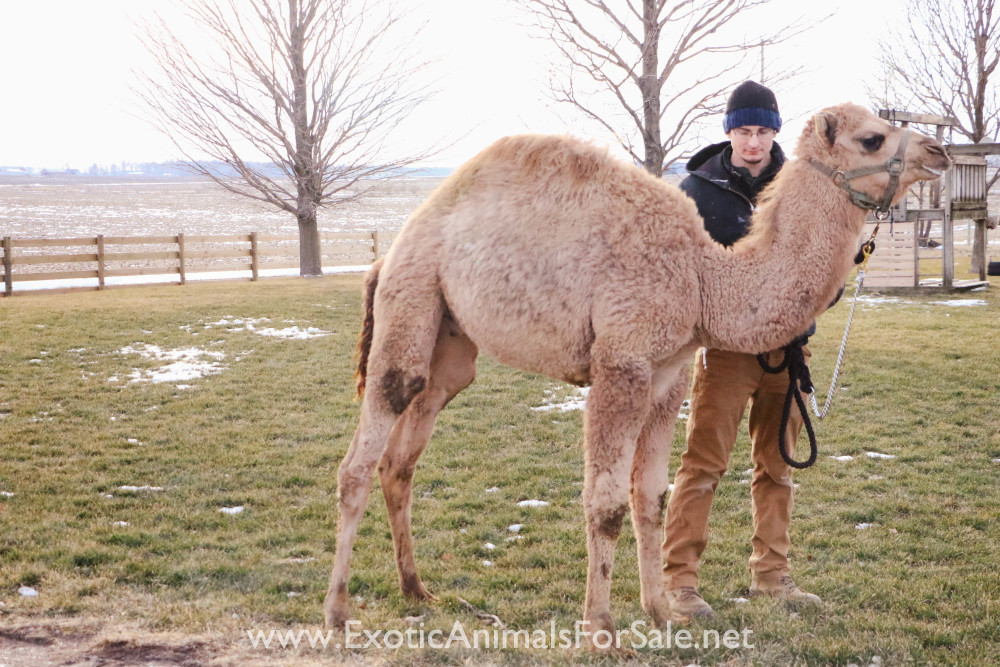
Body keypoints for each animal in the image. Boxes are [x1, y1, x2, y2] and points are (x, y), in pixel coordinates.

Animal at [323, 103, 950, 639]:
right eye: (872, 137)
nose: (939, 150)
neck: (703, 279)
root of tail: (390, 250)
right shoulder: (619, 364)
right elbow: (605, 503)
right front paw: (601, 629)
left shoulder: (668, 376)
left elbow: (651, 496)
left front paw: (661, 614)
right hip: (410, 301)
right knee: (363, 455)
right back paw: (337, 611)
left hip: (451, 345)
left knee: (402, 459)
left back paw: (416, 589)